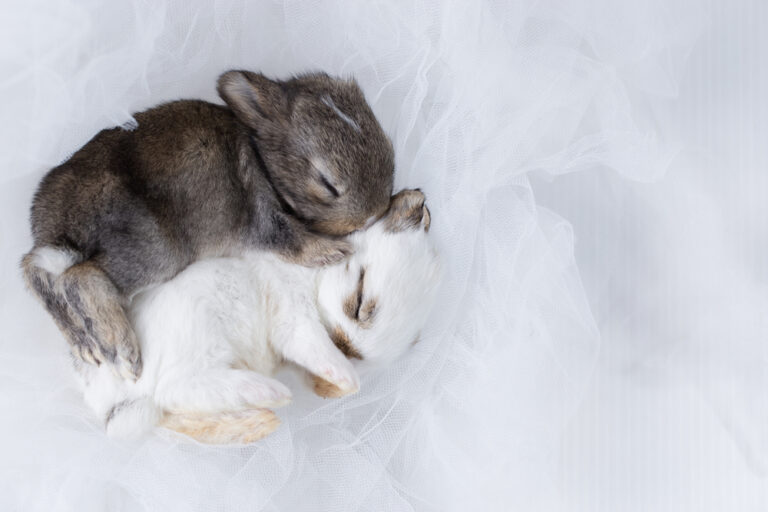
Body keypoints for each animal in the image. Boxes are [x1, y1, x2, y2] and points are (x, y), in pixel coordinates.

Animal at [21, 70, 395, 381]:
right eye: (327, 183)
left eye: (390, 150)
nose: (374, 214)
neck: (261, 158)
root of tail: (57, 228)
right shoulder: (262, 216)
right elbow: (291, 239)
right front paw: (335, 251)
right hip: (154, 249)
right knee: (79, 277)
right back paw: (125, 354)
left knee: (35, 272)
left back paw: (86, 347)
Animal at [75, 189, 439, 444]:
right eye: (359, 300)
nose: (344, 346)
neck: (315, 279)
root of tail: (110, 398)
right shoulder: (294, 317)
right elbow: (314, 346)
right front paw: (347, 378)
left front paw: (334, 387)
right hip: (196, 338)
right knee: (177, 388)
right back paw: (270, 392)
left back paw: (261, 420)